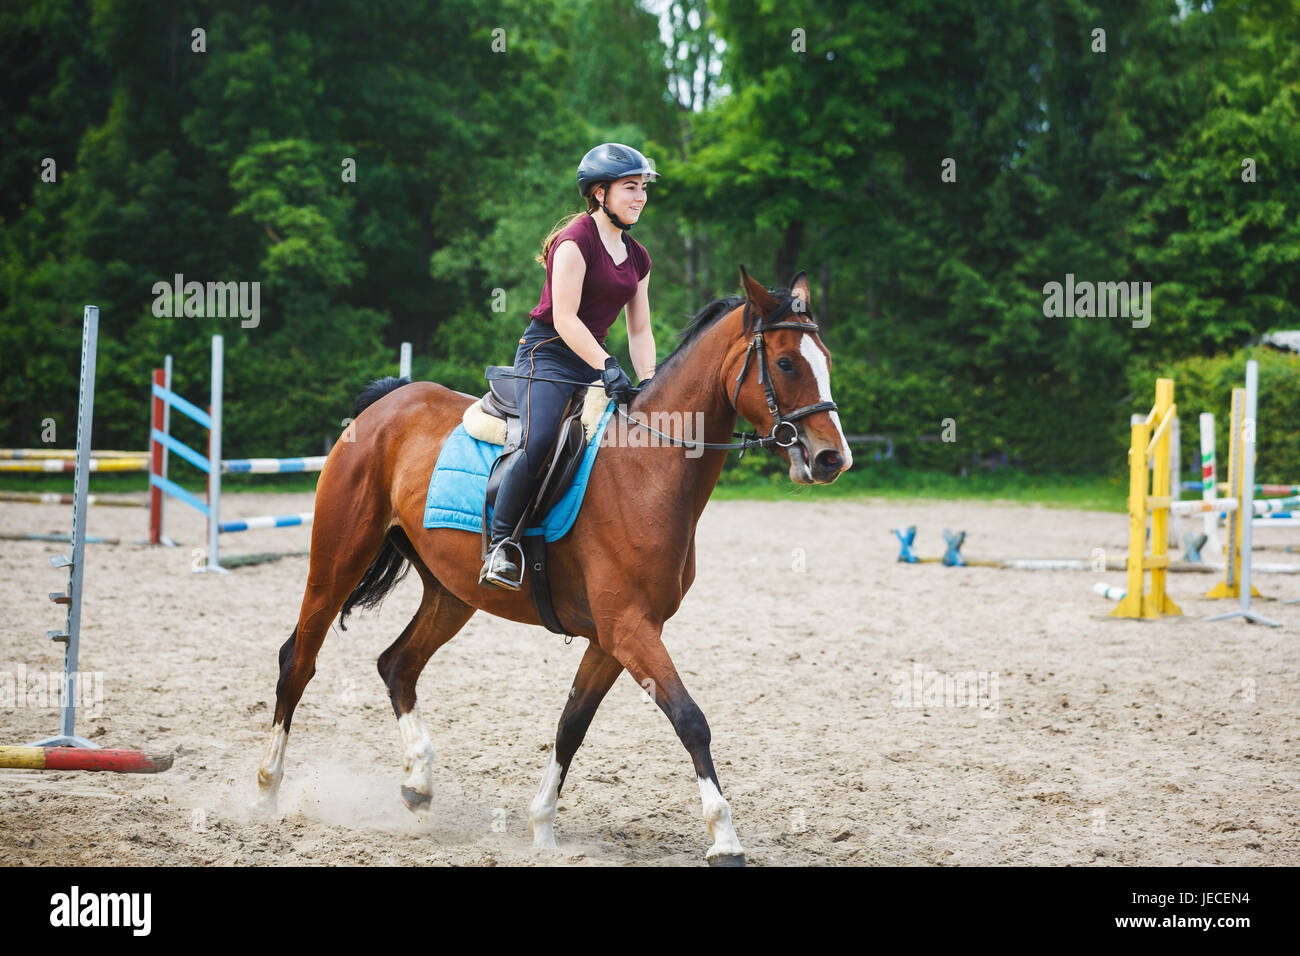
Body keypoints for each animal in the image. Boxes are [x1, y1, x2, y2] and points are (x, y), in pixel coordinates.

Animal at [254, 266, 853, 865]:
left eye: (824, 357)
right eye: (786, 363)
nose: (832, 459)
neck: (648, 468)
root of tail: (386, 404)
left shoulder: (615, 637)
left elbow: (572, 724)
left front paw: (542, 826)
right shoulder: (629, 629)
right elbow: (690, 719)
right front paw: (724, 837)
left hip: (451, 593)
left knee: (397, 664)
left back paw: (417, 784)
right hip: (336, 563)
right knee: (298, 660)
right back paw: (266, 791)